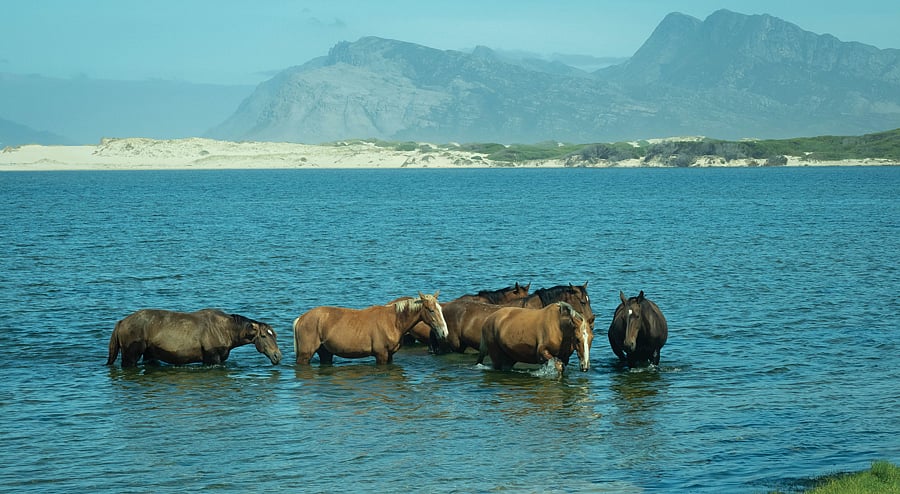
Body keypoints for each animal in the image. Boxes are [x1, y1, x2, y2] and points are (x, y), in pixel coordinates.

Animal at [106, 309, 282, 367]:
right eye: (264, 335)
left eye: (275, 335)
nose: (277, 356)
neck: (225, 329)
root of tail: (121, 323)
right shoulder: (212, 359)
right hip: (130, 356)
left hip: (149, 354)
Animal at [293, 291, 447, 365]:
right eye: (431, 310)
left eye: (440, 308)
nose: (444, 332)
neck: (393, 321)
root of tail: (301, 318)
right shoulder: (381, 355)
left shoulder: (390, 355)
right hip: (305, 355)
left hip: (325, 353)